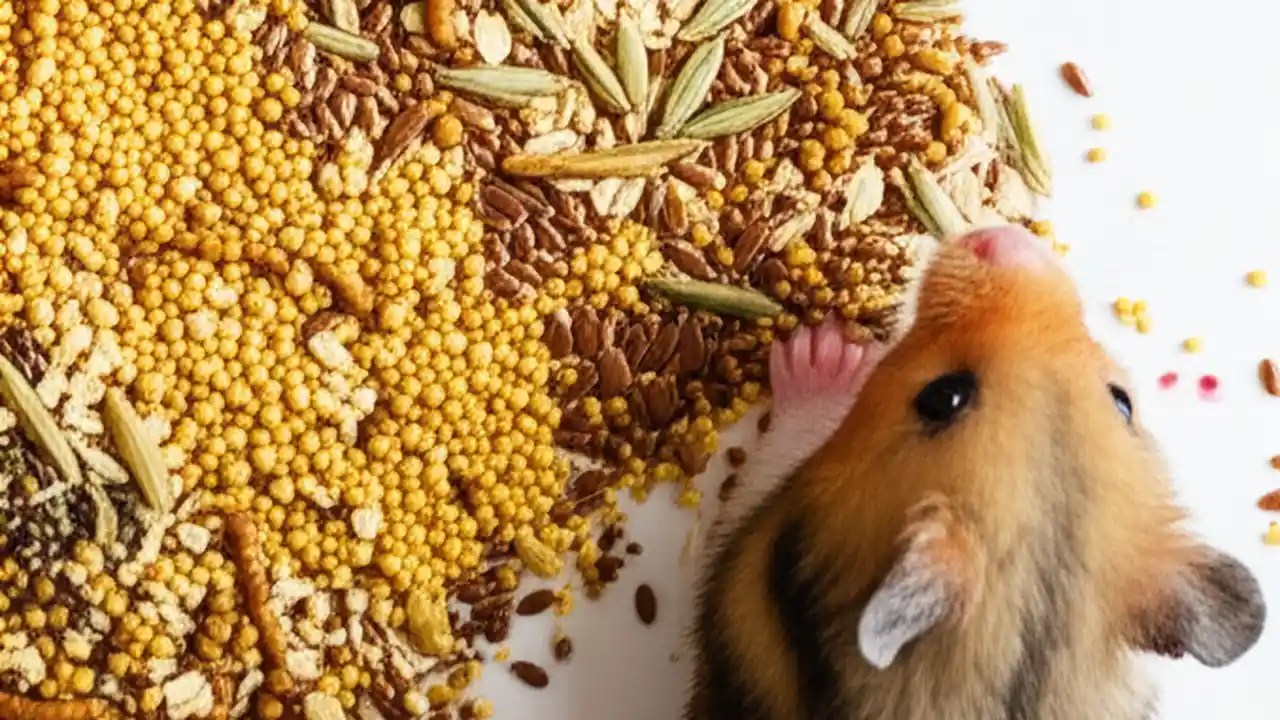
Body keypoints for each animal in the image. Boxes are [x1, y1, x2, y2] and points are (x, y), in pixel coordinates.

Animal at [688, 225, 1266, 720]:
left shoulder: (750, 538)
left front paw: (824, 348)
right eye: (1121, 401)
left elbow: (779, 450)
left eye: (943, 396)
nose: (1002, 237)